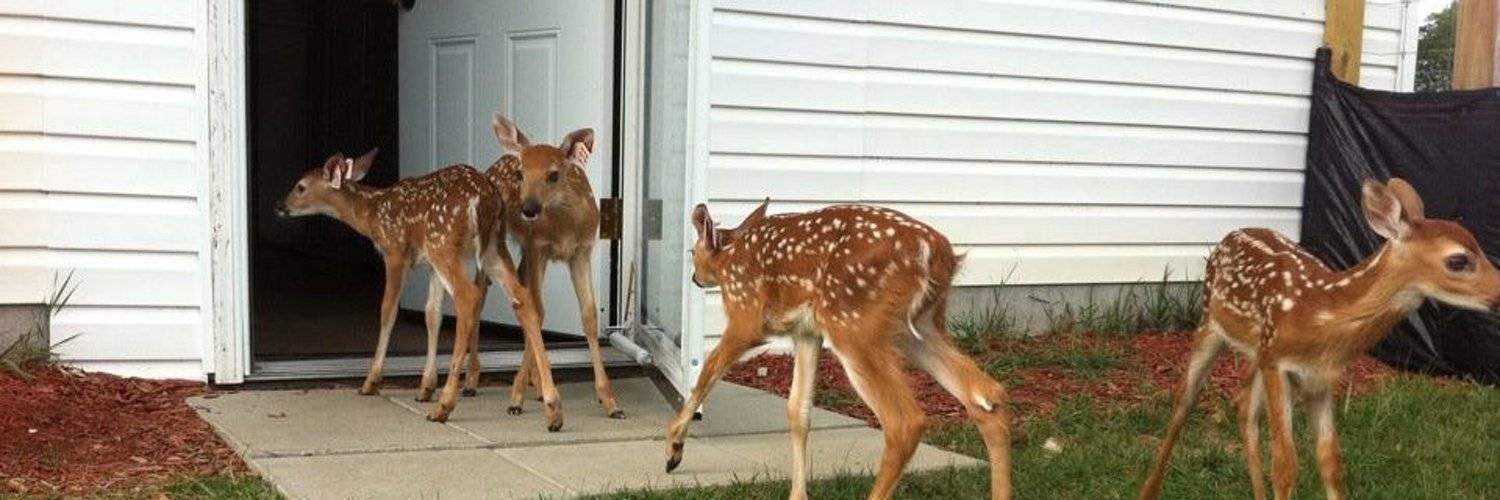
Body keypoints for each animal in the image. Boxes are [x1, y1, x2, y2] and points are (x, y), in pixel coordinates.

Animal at [275, 149, 564, 430]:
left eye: (300, 186)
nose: (279, 207)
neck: (372, 215)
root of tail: (484, 201)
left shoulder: (395, 252)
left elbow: (388, 310)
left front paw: (371, 381)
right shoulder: (430, 267)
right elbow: (432, 315)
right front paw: (425, 387)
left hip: (443, 244)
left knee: (468, 296)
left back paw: (445, 406)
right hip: (492, 247)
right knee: (525, 298)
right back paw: (551, 409)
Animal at [485, 114, 623, 419]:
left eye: (553, 175)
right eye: (520, 174)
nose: (529, 208)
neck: (565, 229)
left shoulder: (581, 251)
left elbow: (589, 315)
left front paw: (611, 402)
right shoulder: (538, 247)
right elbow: (536, 311)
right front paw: (517, 398)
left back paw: (536, 386)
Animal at [664, 201, 1013, 500]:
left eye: (692, 251)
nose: (695, 277)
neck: (730, 260)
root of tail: (934, 252)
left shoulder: (745, 316)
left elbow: (709, 369)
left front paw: (673, 449)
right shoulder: (806, 333)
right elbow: (798, 410)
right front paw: (797, 495)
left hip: (854, 324)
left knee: (904, 420)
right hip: (918, 326)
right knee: (985, 394)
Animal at [1140, 178, 1500, 500]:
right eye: (1459, 260)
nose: (1499, 293)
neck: (1322, 319)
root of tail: (1233, 233)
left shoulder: (1320, 379)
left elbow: (1331, 463)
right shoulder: (1279, 365)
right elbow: (1285, 466)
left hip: (1258, 352)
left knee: (1243, 407)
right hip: (1210, 325)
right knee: (1184, 401)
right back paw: (1148, 491)